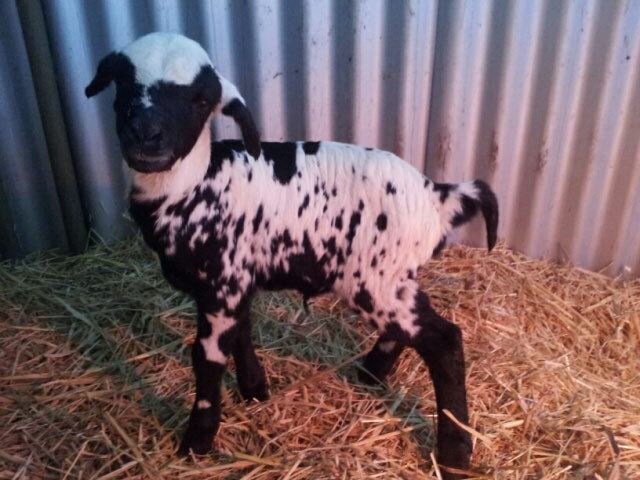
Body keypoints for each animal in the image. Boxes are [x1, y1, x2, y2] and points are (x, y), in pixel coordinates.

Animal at [86, 32, 499, 479]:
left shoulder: (221, 285)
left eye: (201, 99)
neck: (191, 185)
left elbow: (208, 360)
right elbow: (242, 333)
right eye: (122, 82)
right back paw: (371, 374)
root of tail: (440, 196)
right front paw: (254, 389)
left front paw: (197, 441)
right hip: (392, 279)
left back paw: (455, 454)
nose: (146, 134)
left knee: (445, 341)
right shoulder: (236, 280)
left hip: (376, 280)